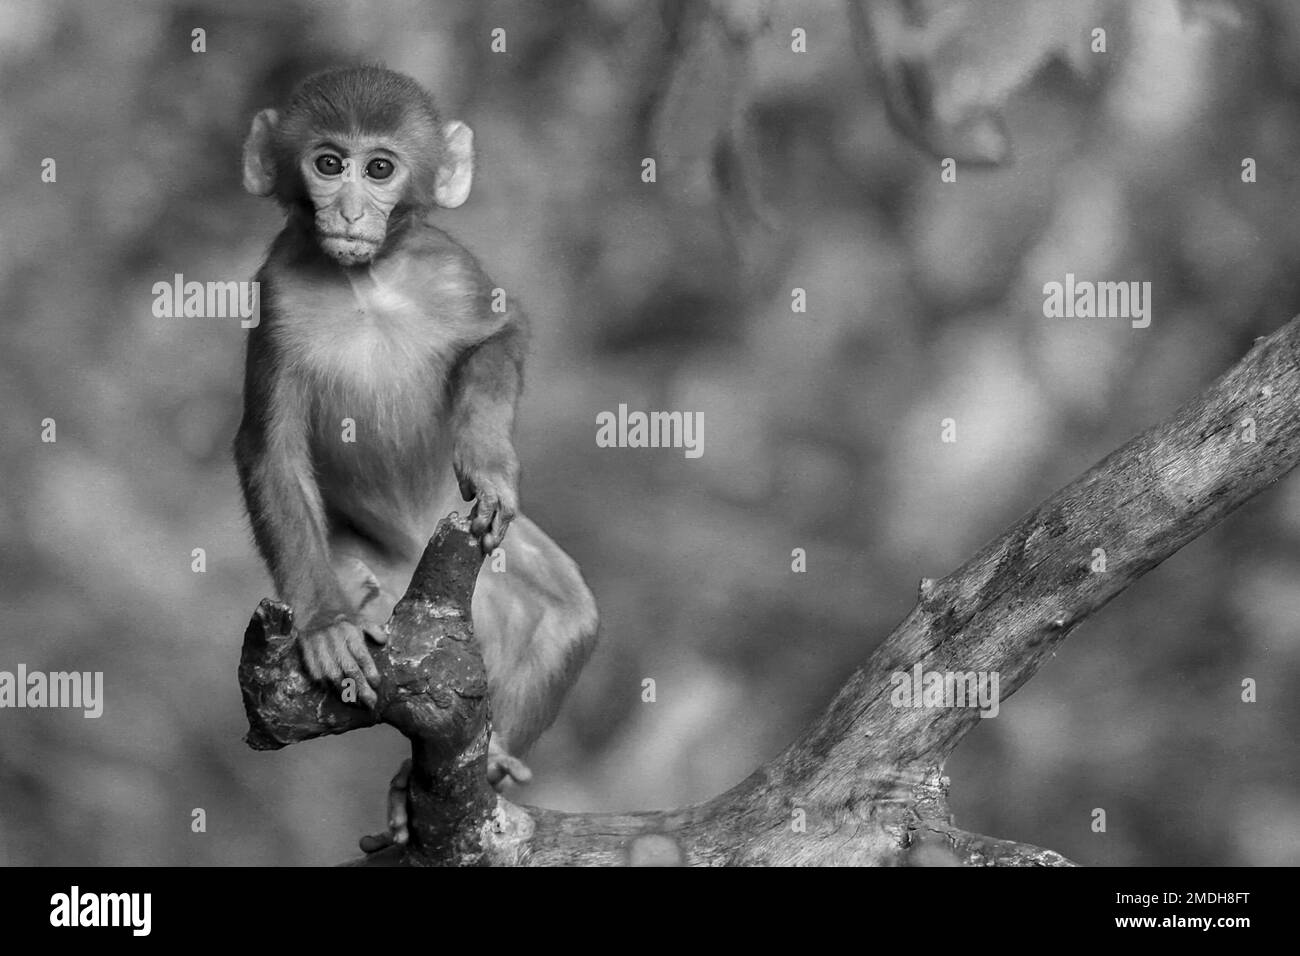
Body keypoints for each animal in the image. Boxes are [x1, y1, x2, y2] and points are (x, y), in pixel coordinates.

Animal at [233, 66, 599, 805]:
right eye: (328, 164)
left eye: (379, 168)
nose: (349, 213)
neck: (363, 285)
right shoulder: (275, 298)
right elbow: (268, 451)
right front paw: (327, 625)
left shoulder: (449, 268)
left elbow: (503, 332)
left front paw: (486, 459)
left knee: (567, 612)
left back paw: (489, 759)